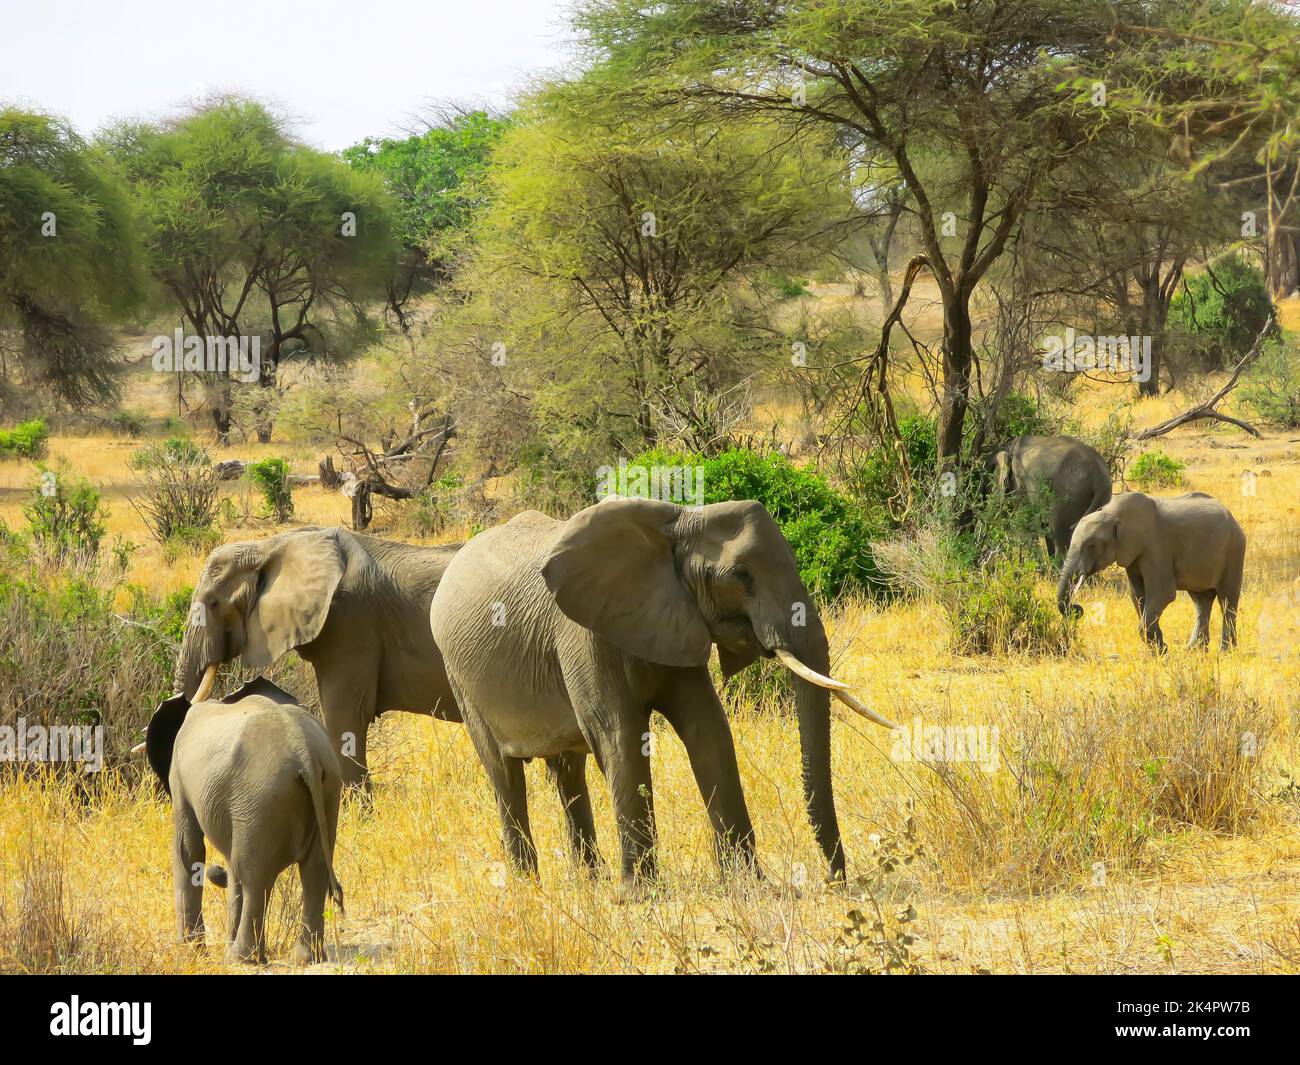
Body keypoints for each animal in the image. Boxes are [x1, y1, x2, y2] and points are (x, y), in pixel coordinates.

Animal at [143, 671, 344, 964]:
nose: (216, 871)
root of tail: (305, 752)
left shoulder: (179, 777)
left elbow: (188, 848)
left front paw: (192, 952)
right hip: (325, 790)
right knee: (311, 871)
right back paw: (307, 958)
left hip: (260, 798)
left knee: (252, 873)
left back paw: (238, 958)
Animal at [428, 497, 898, 893]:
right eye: (741, 576)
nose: (834, 881)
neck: (677, 523)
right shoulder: (584, 634)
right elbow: (619, 736)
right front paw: (640, 897)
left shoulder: (676, 619)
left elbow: (708, 729)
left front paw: (750, 887)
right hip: (459, 674)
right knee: (504, 773)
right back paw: (530, 889)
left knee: (568, 771)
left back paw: (590, 883)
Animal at [1057, 491, 1246, 651]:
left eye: (1091, 545)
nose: (1077, 609)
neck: (1113, 515)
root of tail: (1232, 517)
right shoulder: (1132, 555)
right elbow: (1138, 595)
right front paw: (1159, 648)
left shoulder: (1156, 548)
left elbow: (1163, 593)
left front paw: (1163, 651)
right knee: (1201, 601)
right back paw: (1193, 652)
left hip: (1234, 550)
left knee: (1227, 600)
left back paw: (1225, 652)